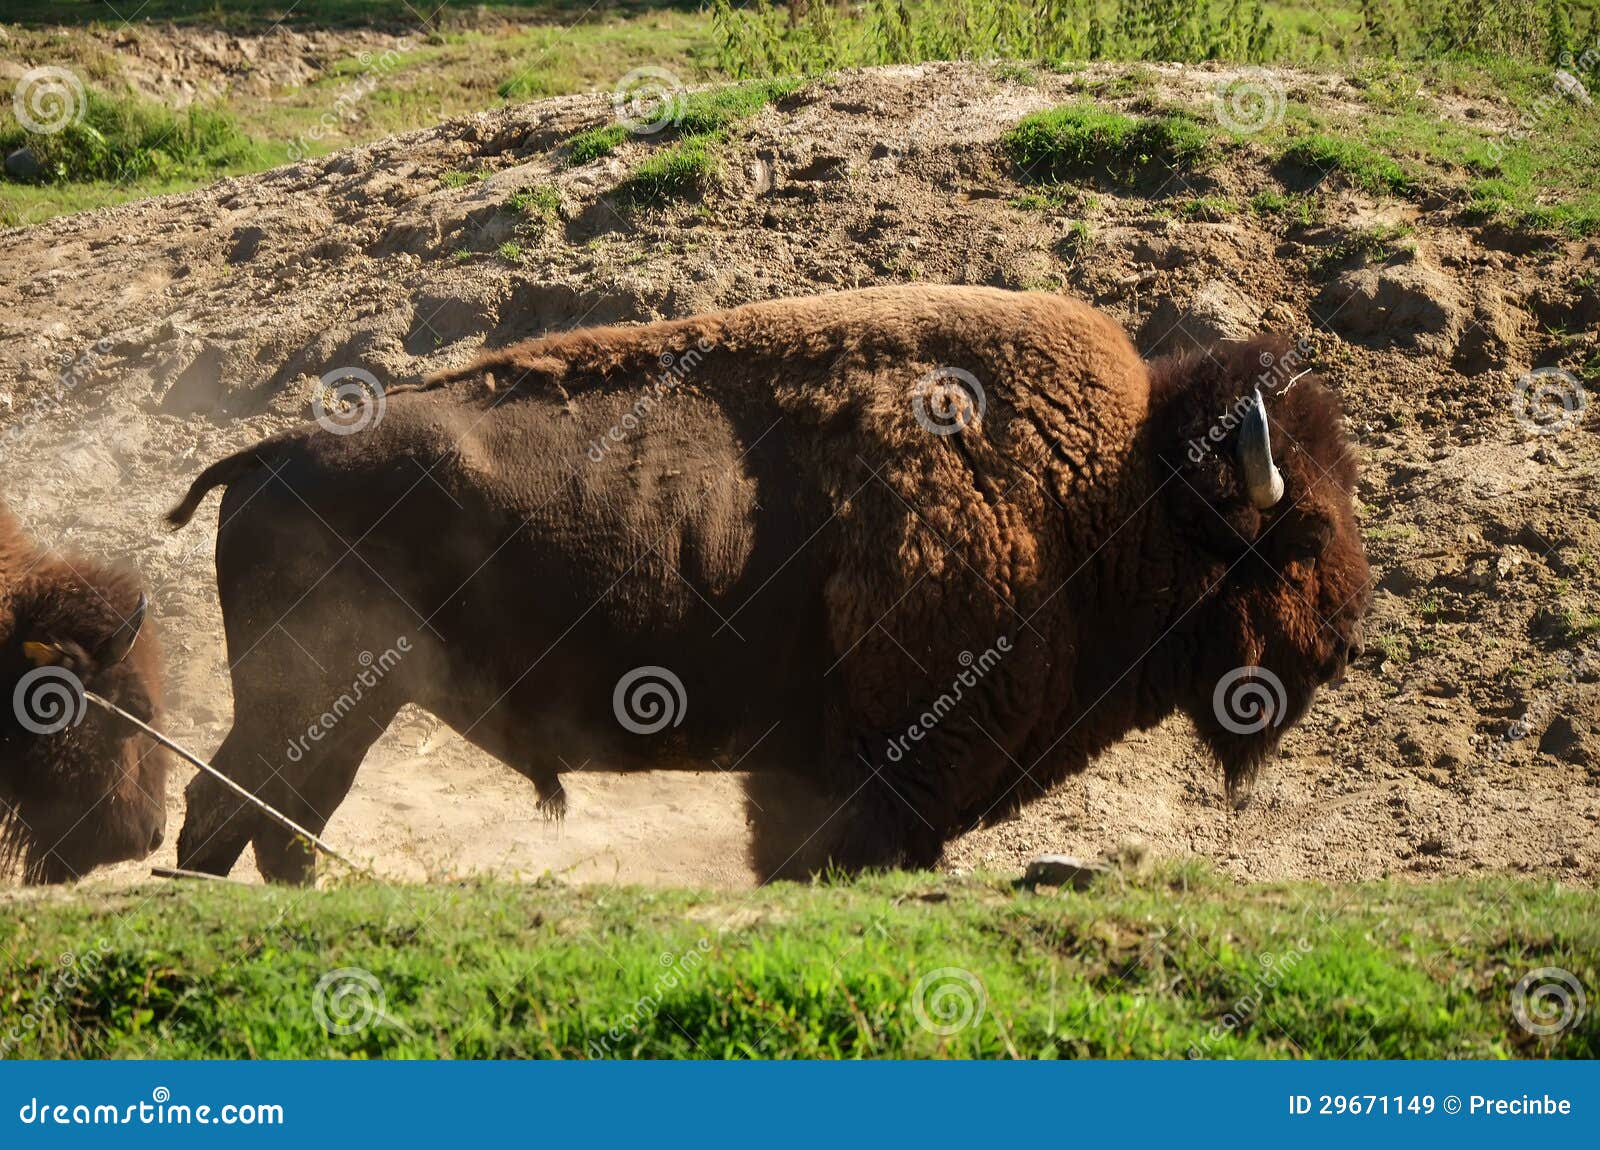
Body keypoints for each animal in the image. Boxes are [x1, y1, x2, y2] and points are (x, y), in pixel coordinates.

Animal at [167, 285, 1369, 883]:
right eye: (1302, 530)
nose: (1347, 637)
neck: (1115, 483)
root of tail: (266, 454)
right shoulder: (875, 768)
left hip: (346, 699)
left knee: (265, 812)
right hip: (322, 692)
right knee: (243, 807)